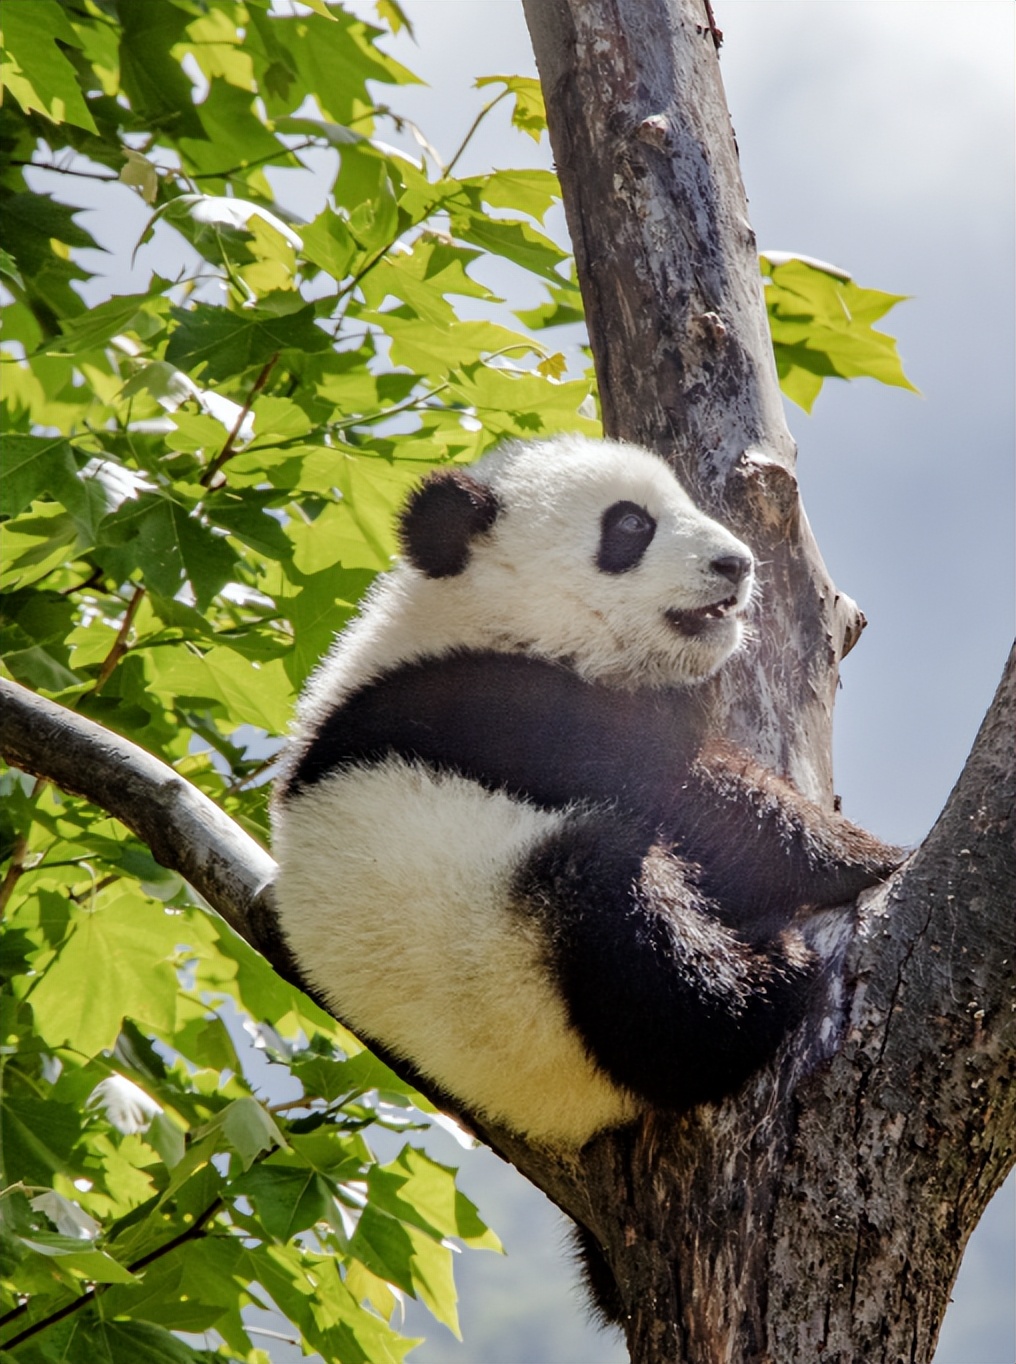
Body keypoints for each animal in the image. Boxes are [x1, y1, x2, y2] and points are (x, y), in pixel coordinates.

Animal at [272, 434, 898, 1148]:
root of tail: (572, 1115)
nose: (735, 563)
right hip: (523, 962)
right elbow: (699, 799)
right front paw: (875, 859)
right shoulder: (488, 701)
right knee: (625, 923)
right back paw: (767, 977)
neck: (480, 615)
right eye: (629, 525)